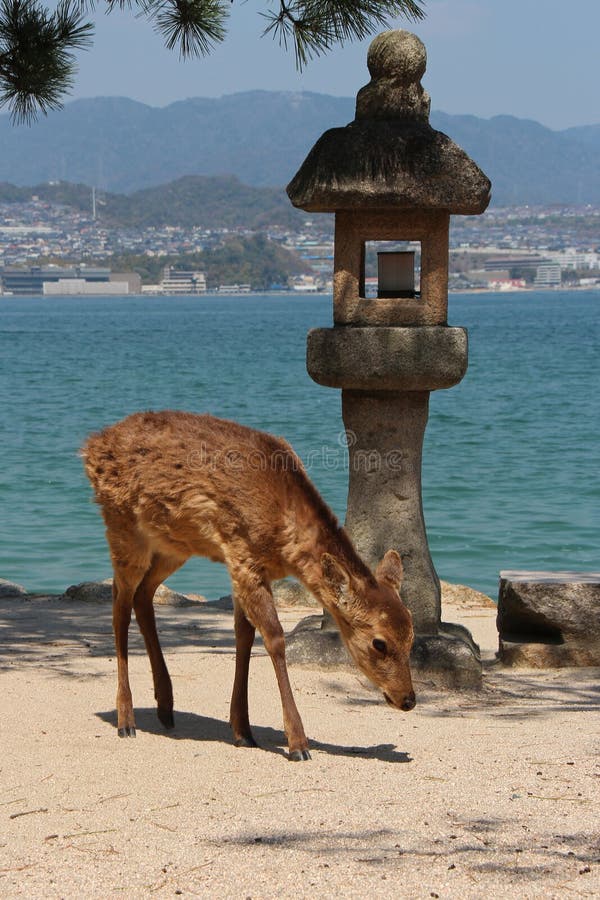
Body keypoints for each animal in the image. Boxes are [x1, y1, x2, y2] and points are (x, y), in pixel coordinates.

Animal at [82, 410, 415, 761]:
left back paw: (166, 707)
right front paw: (298, 743)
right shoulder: (243, 554)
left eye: (411, 635)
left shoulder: (245, 567)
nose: (408, 699)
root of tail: (90, 446)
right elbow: (274, 637)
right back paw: (126, 719)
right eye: (379, 643)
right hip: (122, 525)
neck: (284, 539)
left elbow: (244, 636)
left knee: (143, 594)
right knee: (120, 603)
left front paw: (242, 730)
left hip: (173, 545)